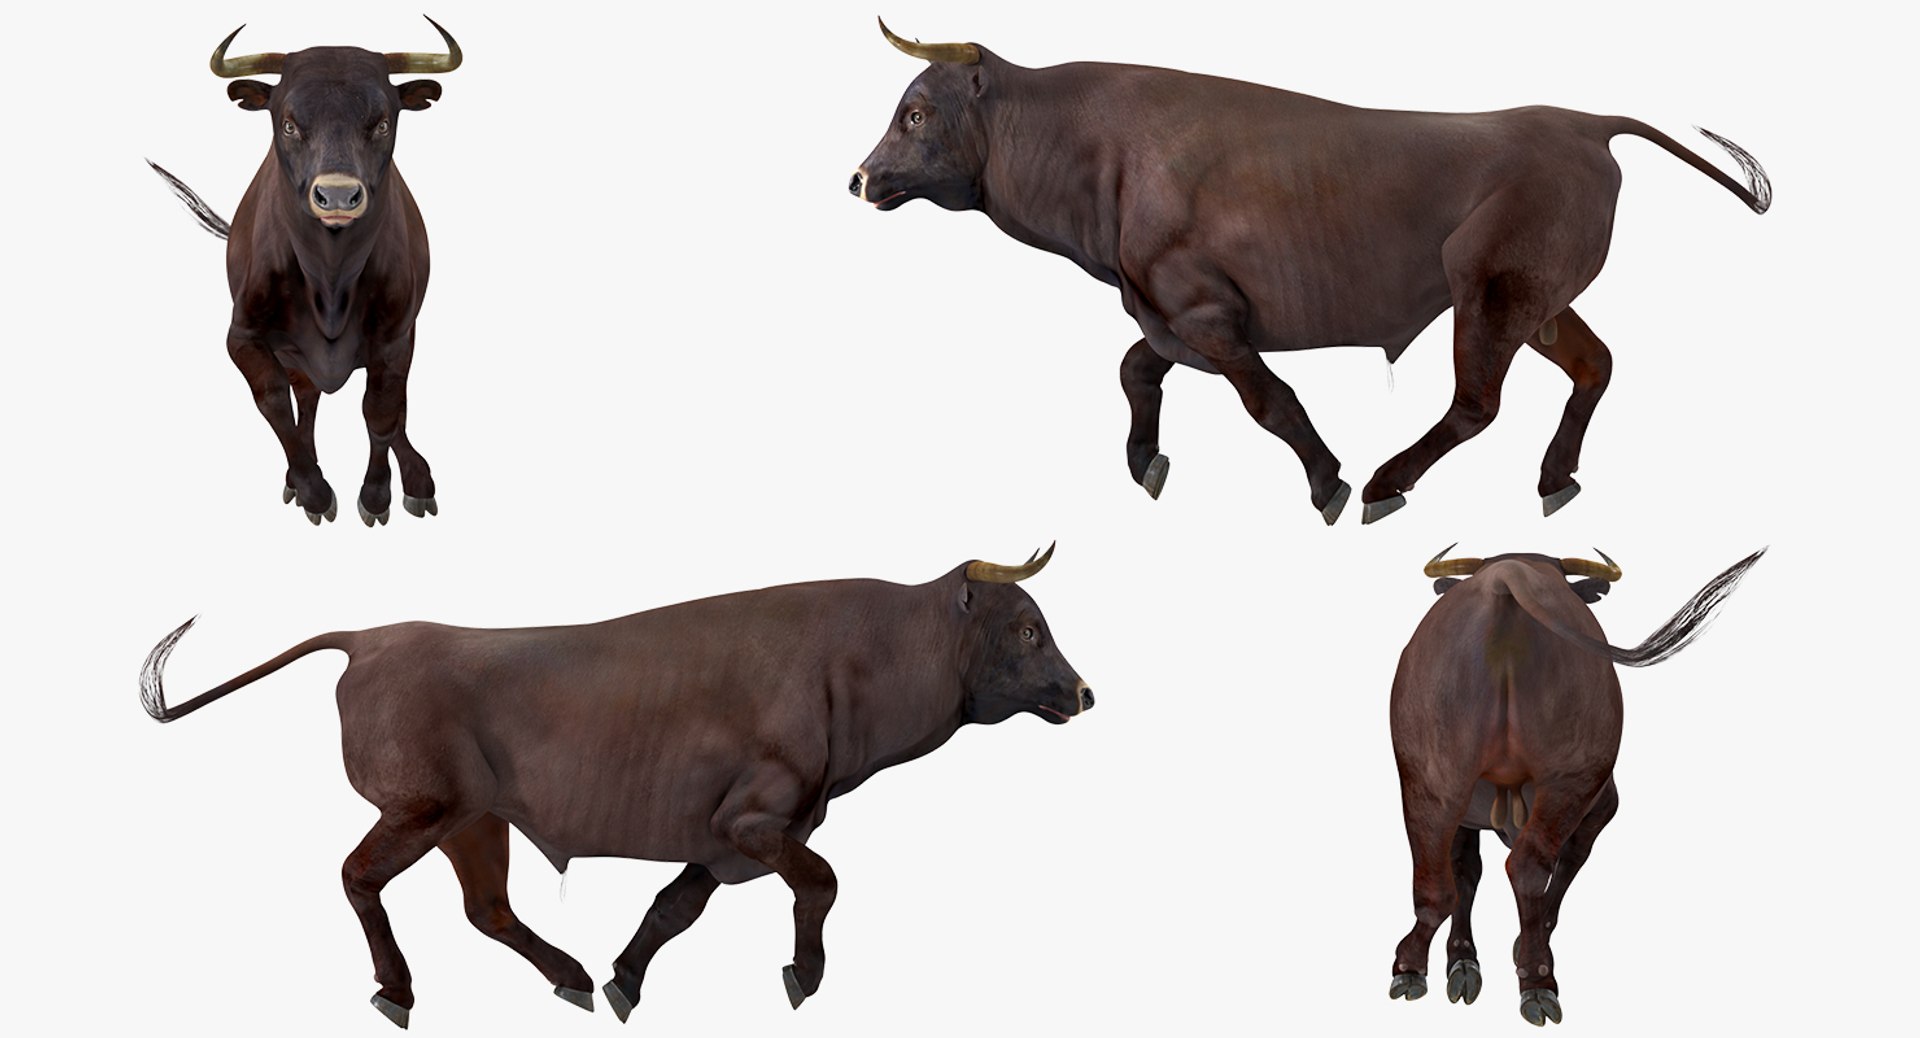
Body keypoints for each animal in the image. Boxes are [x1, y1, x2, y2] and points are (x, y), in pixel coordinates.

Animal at [138, 546, 1092, 1028]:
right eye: (1027, 627)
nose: (1083, 693)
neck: (870, 653)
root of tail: (372, 636)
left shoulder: (726, 838)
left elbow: (674, 908)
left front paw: (626, 979)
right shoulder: (759, 821)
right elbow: (822, 882)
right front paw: (803, 974)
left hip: (473, 820)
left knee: (486, 908)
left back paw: (571, 978)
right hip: (421, 811)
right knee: (358, 877)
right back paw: (397, 991)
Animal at [148, 17, 461, 526]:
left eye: (383, 122)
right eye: (289, 123)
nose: (336, 196)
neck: (330, 277)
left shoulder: (397, 337)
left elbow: (381, 412)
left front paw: (377, 495)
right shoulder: (244, 337)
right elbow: (276, 403)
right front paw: (312, 488)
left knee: (393, 405)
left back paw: (416, 477)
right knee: (308, 400)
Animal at [851, 21, 1771, 525]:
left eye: (917, 112)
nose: (859, 178)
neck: (1093, 150)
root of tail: (1581, 121)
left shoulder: (1208, 315)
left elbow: (1271, 402)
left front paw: (1329, 481)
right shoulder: (1167, 316)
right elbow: (1134, 370)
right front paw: (1145, 462)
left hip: (1486, 296)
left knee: (1478, 402)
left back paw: (1387, 484)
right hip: (1540, 304)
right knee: (1594, 366)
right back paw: (1555, 478)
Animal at [1386, 546, 1763, 1025]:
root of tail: (1507, 571)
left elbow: (1501, 871)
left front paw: (1485, 954)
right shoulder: (1598, 801)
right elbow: (1482, 870)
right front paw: (1471, 958)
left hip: (1453, 775)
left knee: (1487, 874)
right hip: (1537, 775)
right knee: (1503, 870)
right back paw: (1521, 979)